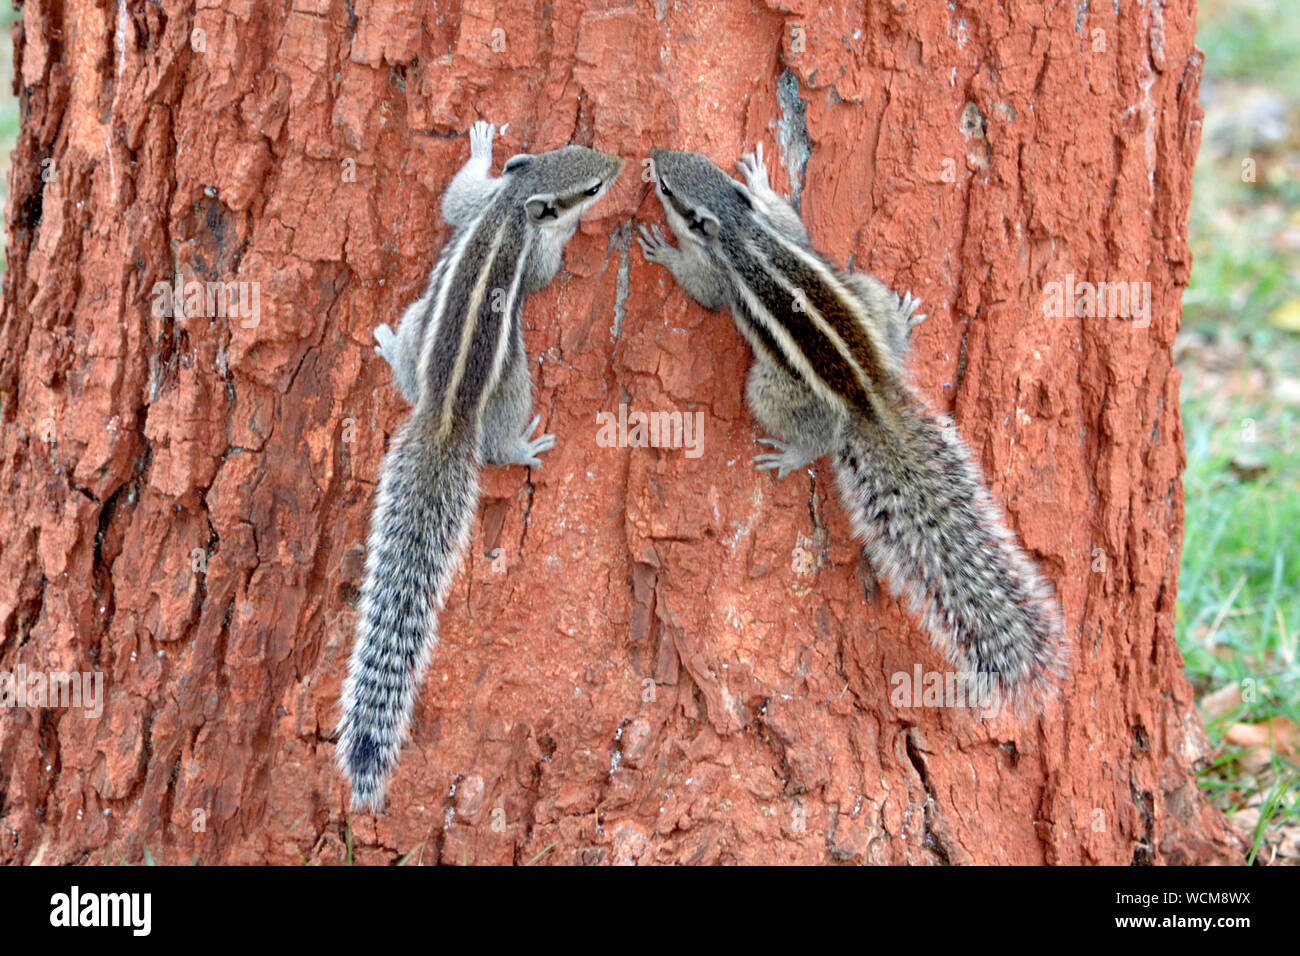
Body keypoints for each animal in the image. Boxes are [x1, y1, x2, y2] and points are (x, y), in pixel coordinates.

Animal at [338, 121, 624, 811]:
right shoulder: (528, 247)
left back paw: (393, 348)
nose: (620, 165)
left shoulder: (479, 203)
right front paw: (574, 235)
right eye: (591, 186)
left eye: (579, 147)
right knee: (498, 435)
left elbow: (453, 201)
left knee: (409, 371)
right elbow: (543, 268)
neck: (513, 207)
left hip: (421, 322)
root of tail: (446, 415)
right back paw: (522, 447)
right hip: (513, 377)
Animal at [638, 143, 1064, 709]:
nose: (656, 154)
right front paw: (761, 180)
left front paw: (665, 253)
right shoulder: (776, 228)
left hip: (771, 387)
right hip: (864, 291)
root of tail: (868, 398)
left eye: (668, 187)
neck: (736, 228)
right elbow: (792, 222)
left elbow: (704, 289)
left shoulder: (719, 276)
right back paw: (901, 323)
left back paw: (791, 454)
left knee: (816, 435)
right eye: (686, 161)